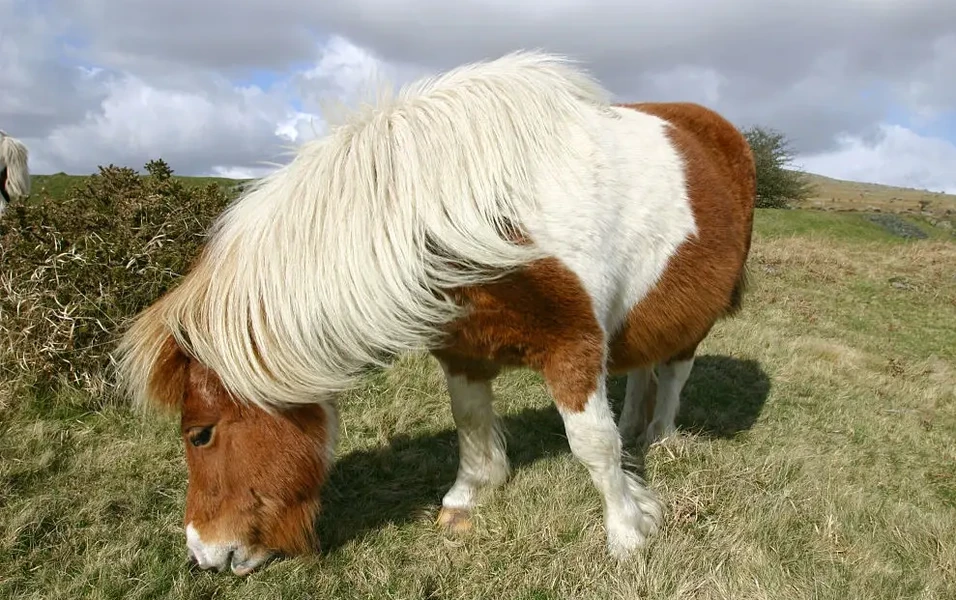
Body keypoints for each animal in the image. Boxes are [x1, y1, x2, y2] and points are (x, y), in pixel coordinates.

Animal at [115, 50, 756, 576]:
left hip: (692, 319)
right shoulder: (461, 348)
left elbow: (591, 443)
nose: (203, 555)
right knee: (643, 369)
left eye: (200, 434)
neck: (470, 213)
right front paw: (470, 495)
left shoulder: (574, 346)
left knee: (673, 373)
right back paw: (637, 435)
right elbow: (469, 422)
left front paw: (628, 529)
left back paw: (662, 438)